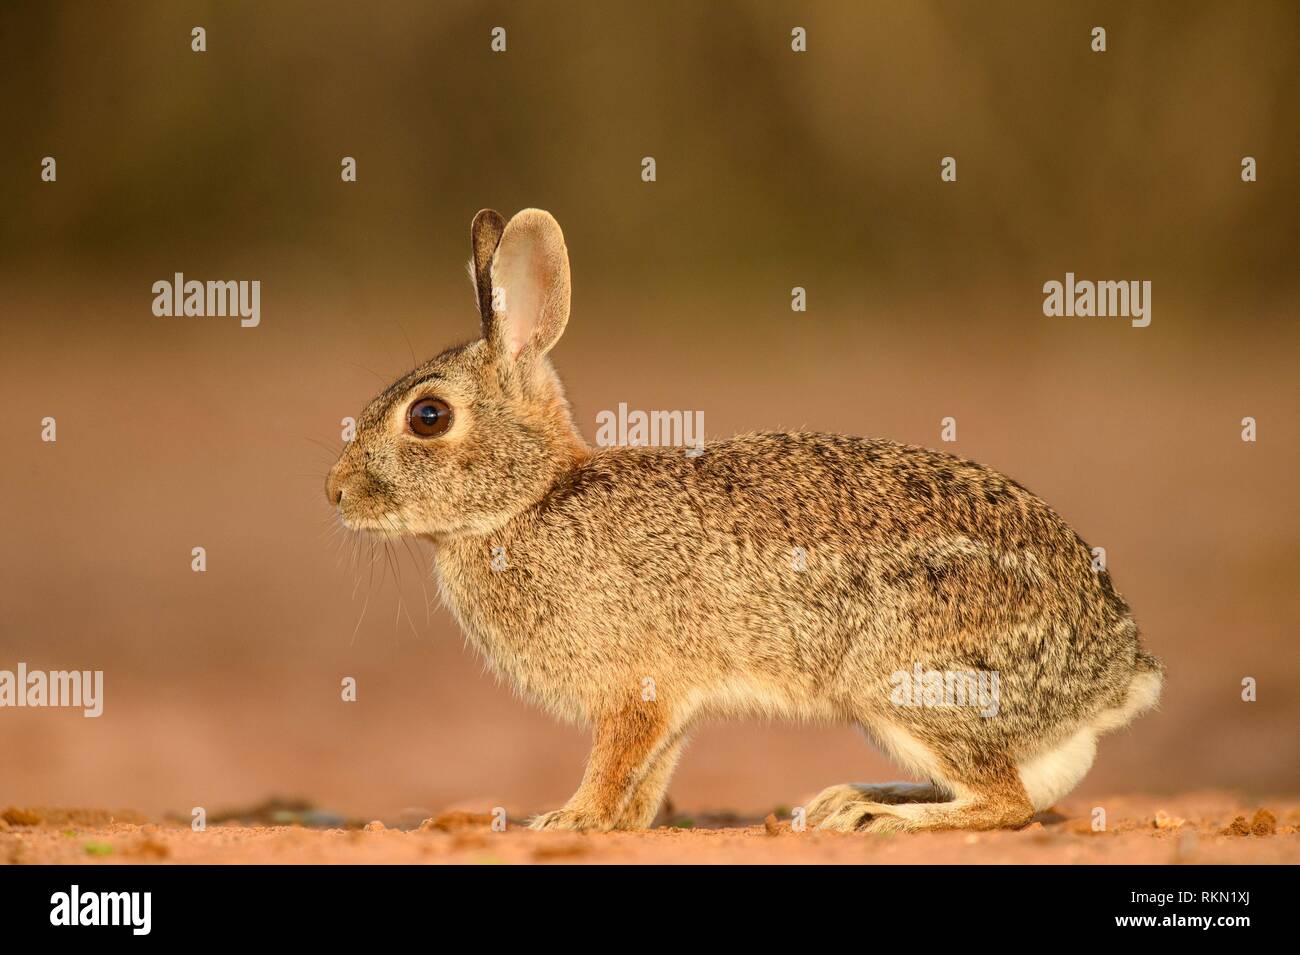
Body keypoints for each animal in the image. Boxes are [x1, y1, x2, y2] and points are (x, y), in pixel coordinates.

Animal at [325, 207, 1163, 833]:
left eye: (428, 416)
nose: (334, 492)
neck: (530, 499)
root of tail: (1117, 668)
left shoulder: (637, 684)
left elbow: (613, 759)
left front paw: (569, 820)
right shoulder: (675, 701)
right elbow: (650, 770)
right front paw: (621, 824)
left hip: (905, 676)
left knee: (1005, 802)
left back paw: (880, 818)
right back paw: (850, 801)